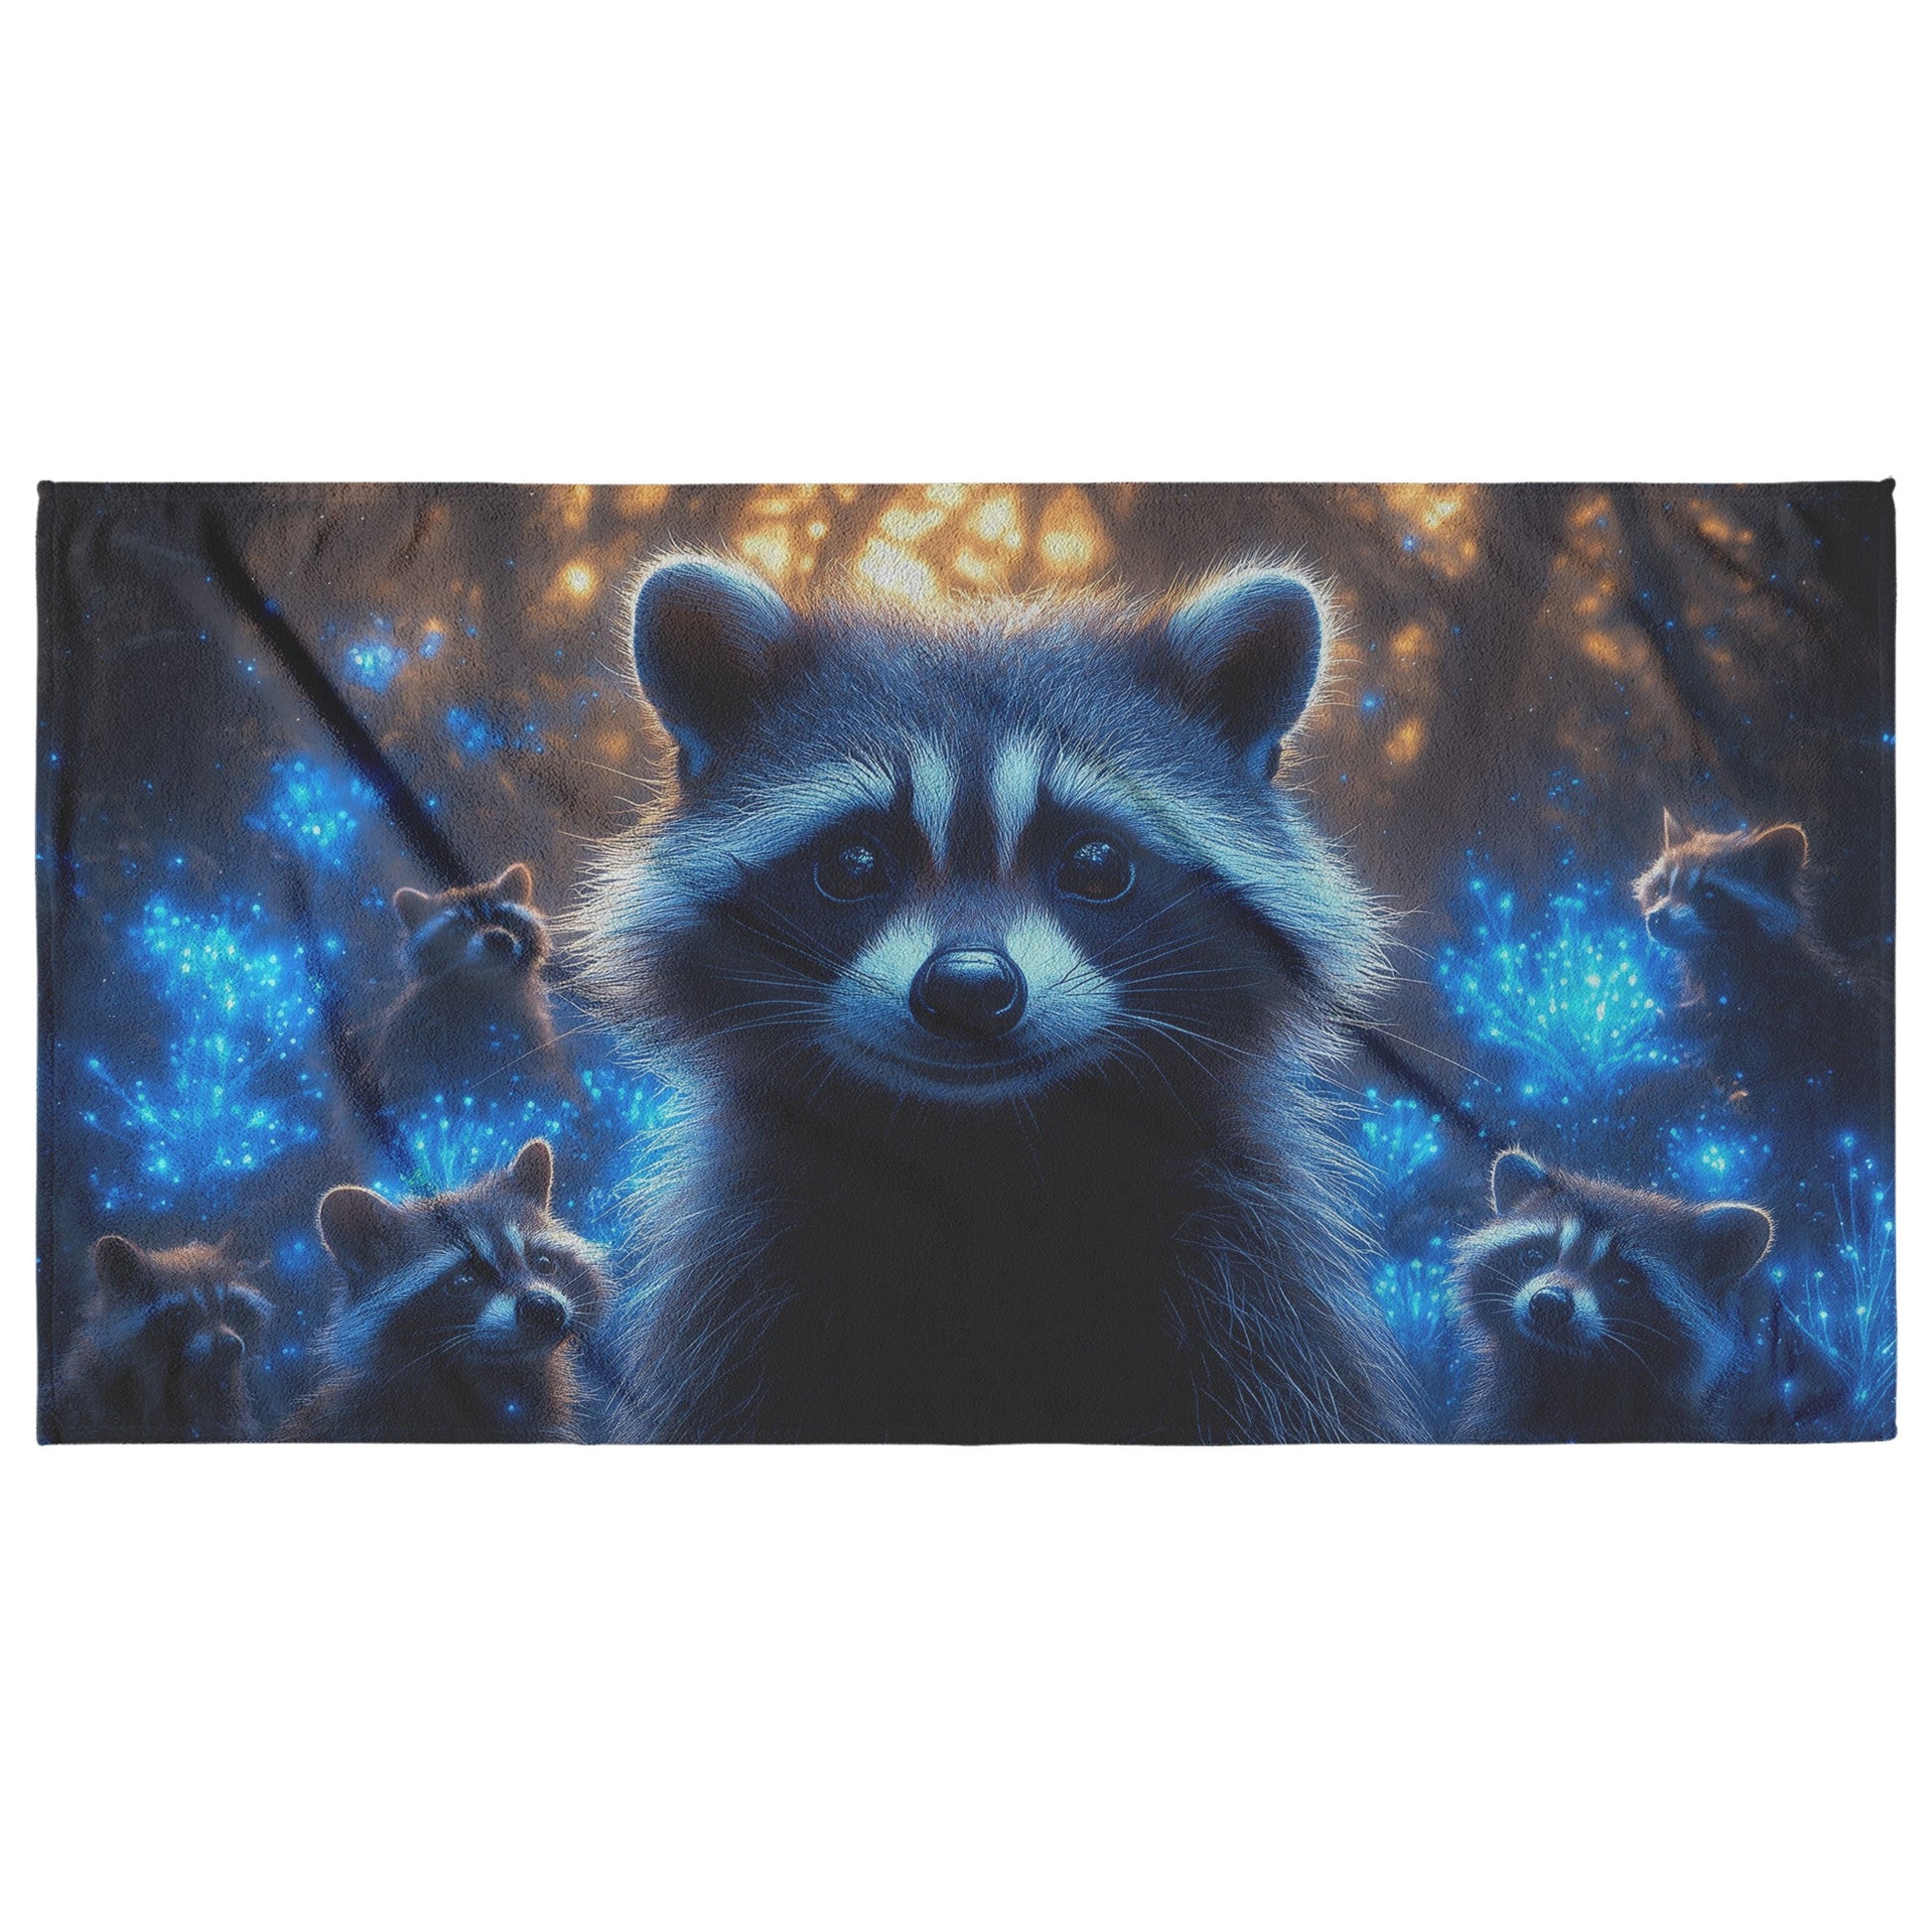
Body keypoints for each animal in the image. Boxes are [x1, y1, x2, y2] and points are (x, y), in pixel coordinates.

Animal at [577, 553, 1421, 1443]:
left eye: (1094, 863)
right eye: (853, 864)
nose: (969, 989)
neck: (981, 1144)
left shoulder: (1258, 1286)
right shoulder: (739, 1290)